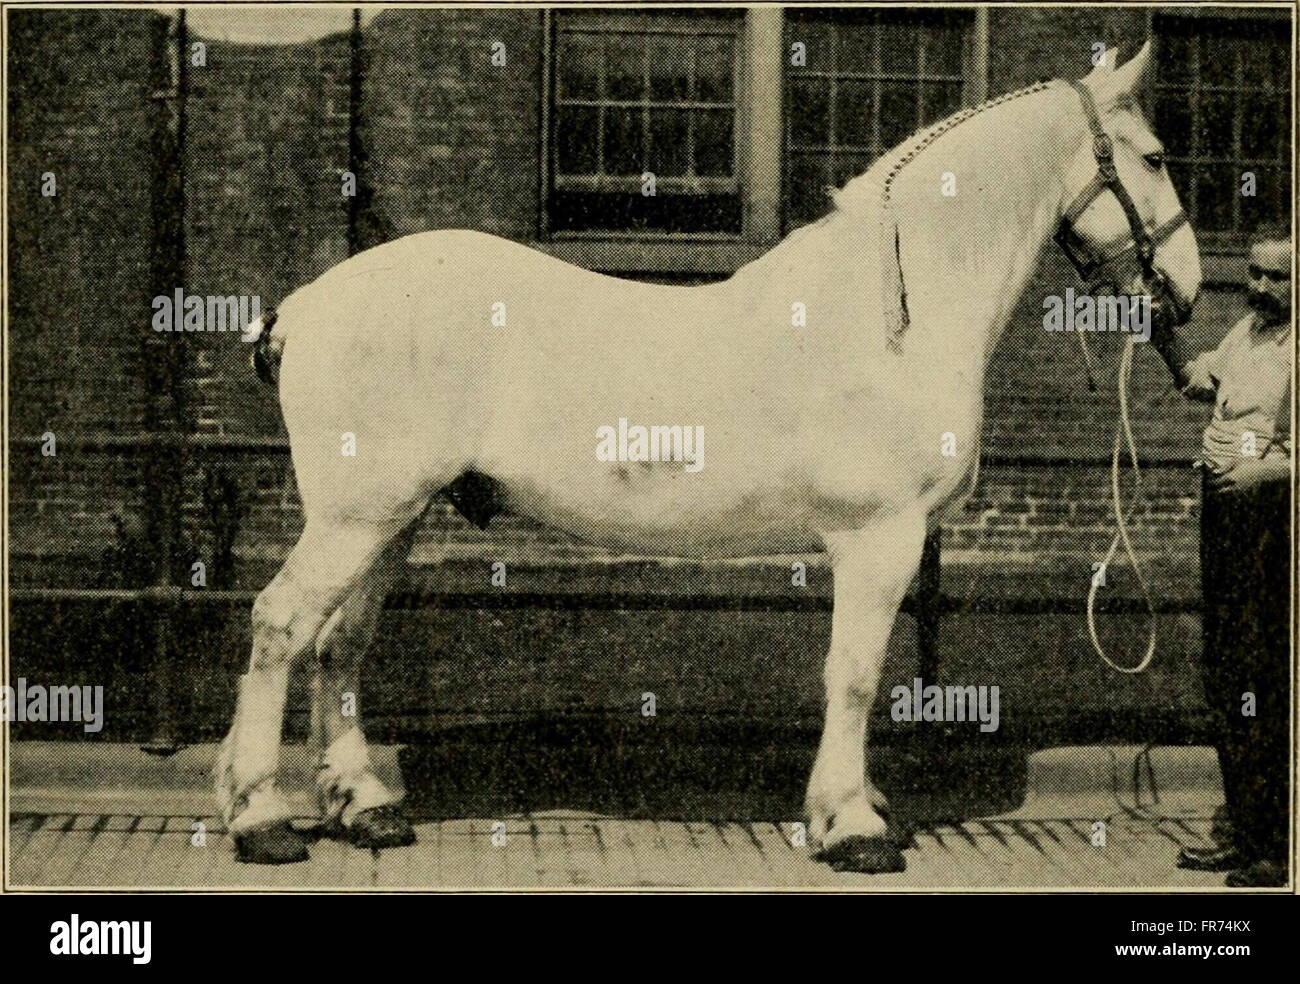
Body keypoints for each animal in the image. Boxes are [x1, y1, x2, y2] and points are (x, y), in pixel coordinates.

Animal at [216, 41, 1201, 870]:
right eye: (1154, 157)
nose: (1186, 292)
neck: (893, 314)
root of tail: (304, 306)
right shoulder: (878, 538)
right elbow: (853, 676)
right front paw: (851, 826)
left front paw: (858, 805)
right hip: (357, 517)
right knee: (281, 625)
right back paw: (261, 819)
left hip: (396, 517)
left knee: (341, 644)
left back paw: (365, 808)